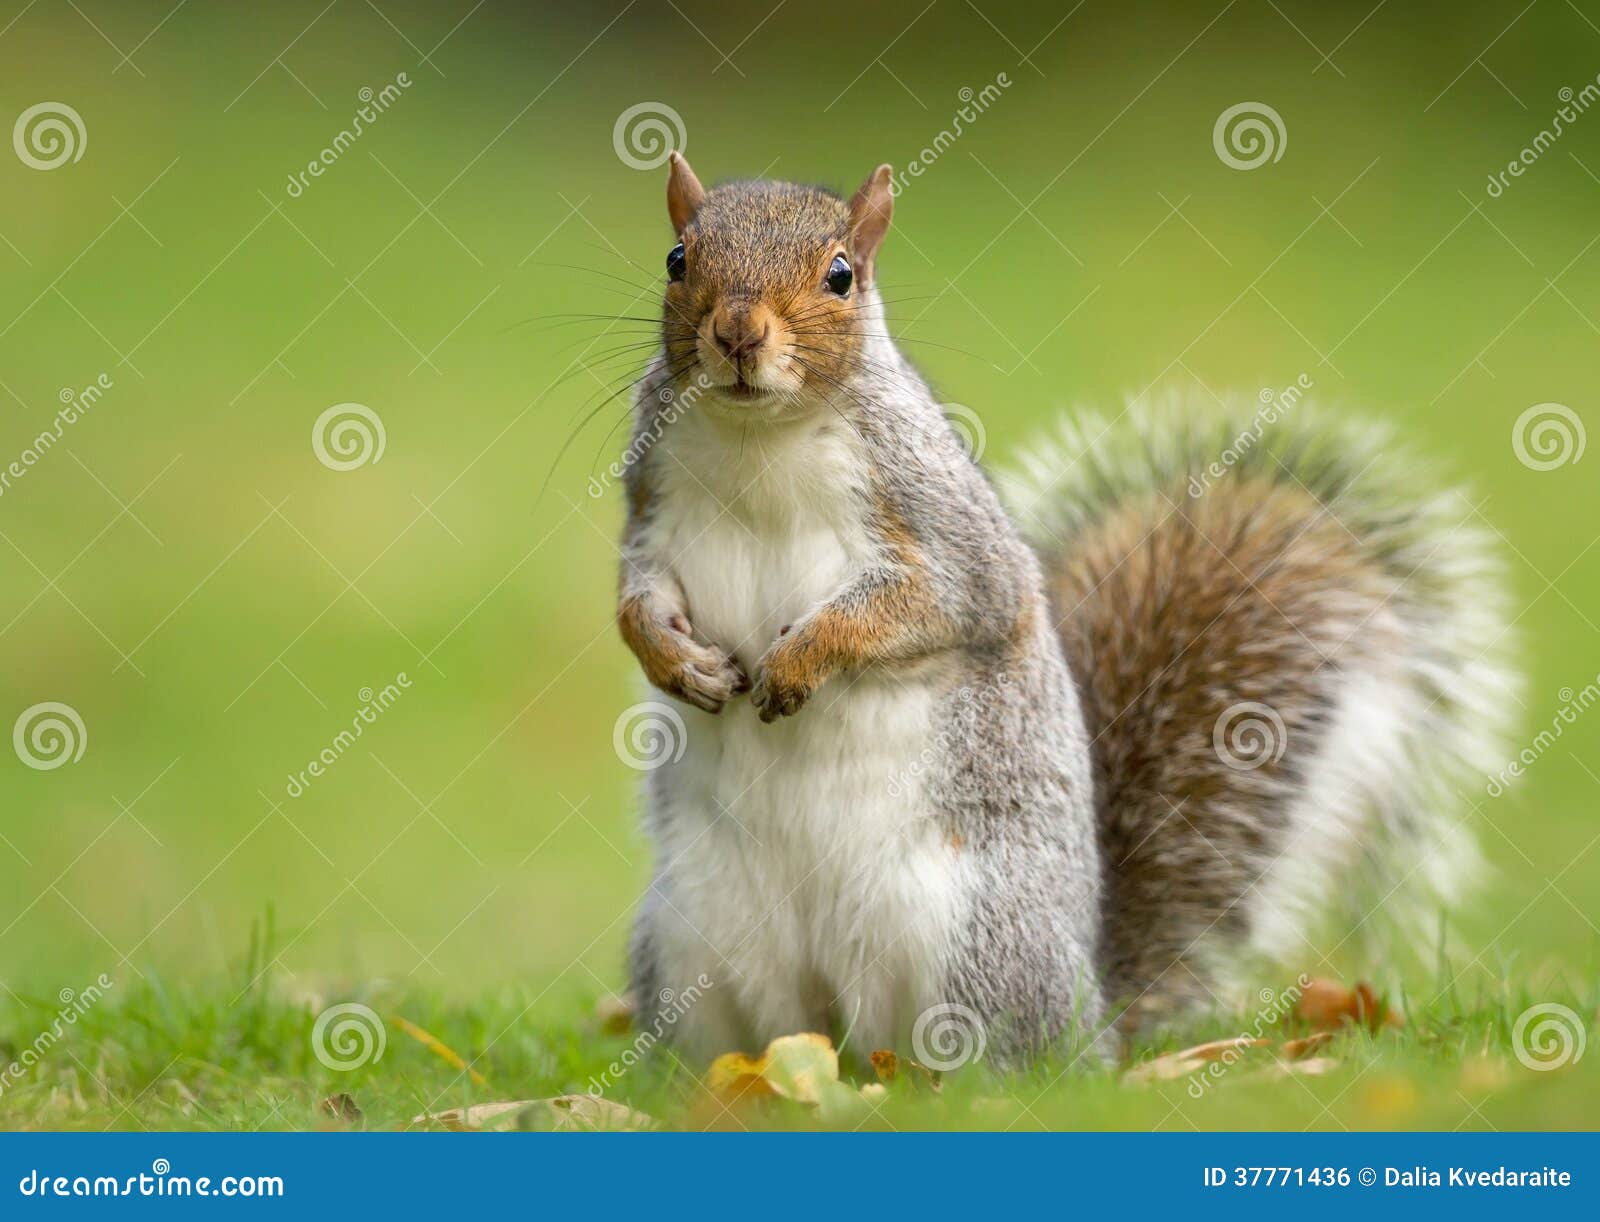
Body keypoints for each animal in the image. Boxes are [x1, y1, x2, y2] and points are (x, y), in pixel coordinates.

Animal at [614, 153, 1516, 1067]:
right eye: (677, 260)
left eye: (841, 275)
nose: (737, 334)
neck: (759, 437)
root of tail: (1094, 1016)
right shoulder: (650, 514)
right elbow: (635, 600)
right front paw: (674, 659)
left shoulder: (948, 536)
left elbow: (932, 605)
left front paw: (802, 661)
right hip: (688, 937)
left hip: (970, 941)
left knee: (999, 1062)